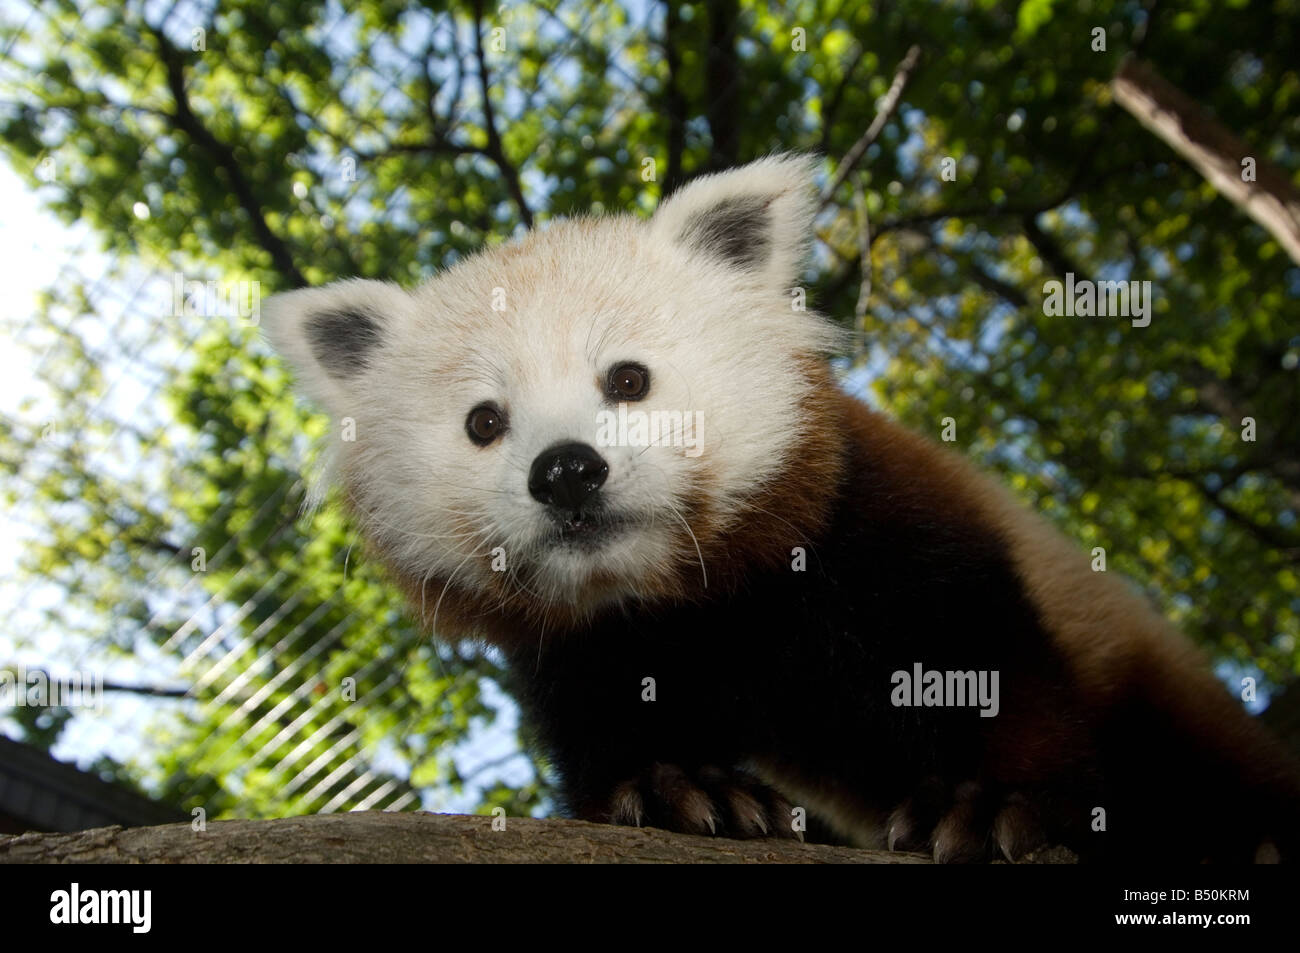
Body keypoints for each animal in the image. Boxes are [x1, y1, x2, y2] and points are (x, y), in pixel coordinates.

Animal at [262, 153, 1300, 862]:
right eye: (485, 422)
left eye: (627, 379)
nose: (565, 472)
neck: (707, 602)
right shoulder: (587, 648)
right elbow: (609, 731)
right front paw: (680, 786)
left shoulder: (889, 527)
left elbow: (1000, 667)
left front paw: (994, 802)